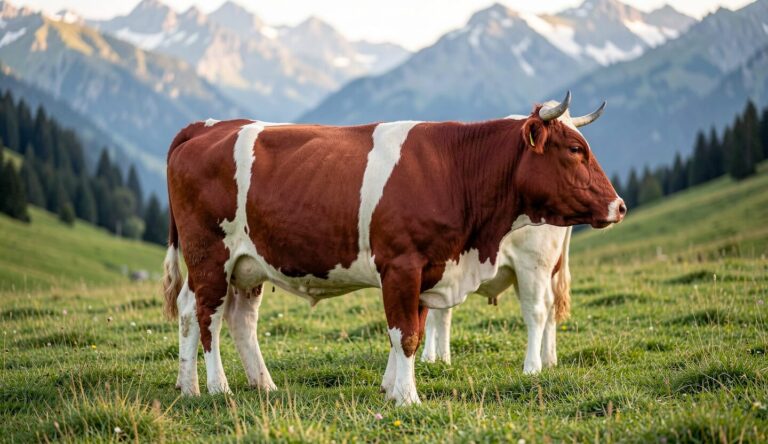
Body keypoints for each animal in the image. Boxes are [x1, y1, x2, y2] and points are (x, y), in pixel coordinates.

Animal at [162, 92, 626, 406]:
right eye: (575, 149)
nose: (619, 205)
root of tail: (207, 126)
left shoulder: (430, 268)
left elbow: (413, 330)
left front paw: (392, 389)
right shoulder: (402, 265)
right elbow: (405, 334)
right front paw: (407, 397)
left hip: (248, 264)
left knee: (229, 318)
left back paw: (228, 385)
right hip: (210, 255)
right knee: (206, 315)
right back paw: (216, 387)